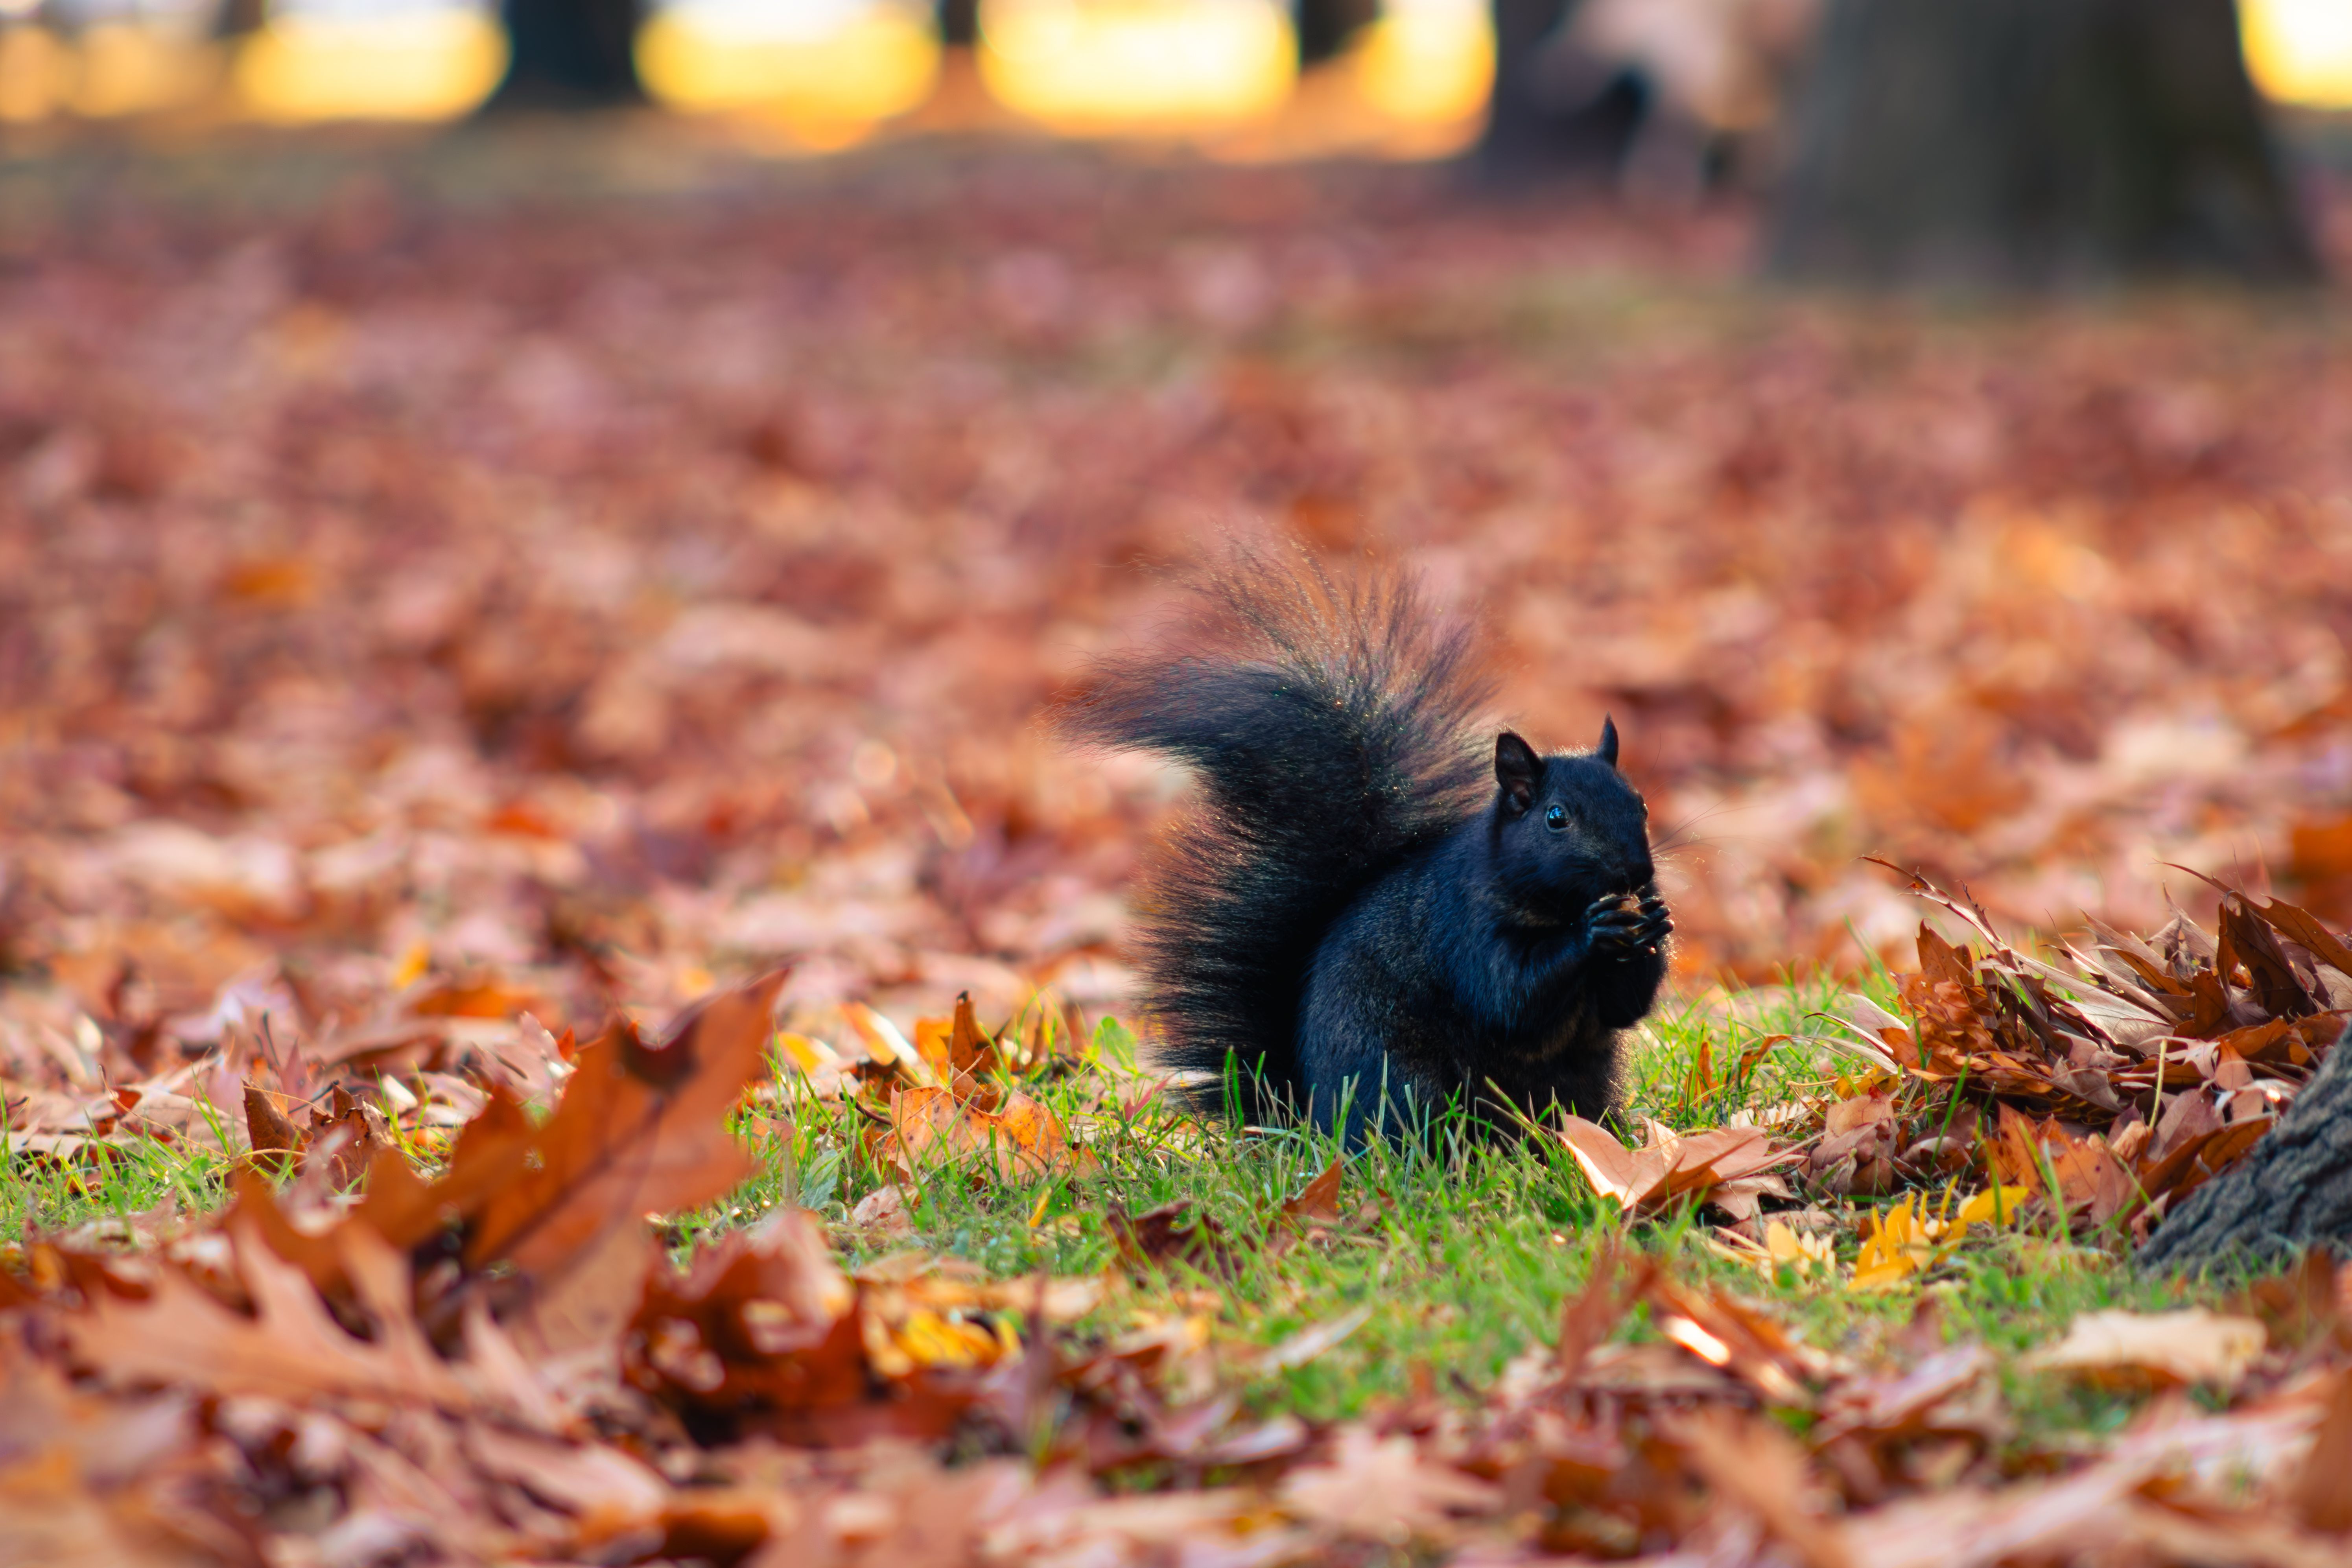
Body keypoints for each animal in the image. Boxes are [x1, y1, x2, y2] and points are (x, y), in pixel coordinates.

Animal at [1061, 553, 1671, 1142]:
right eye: (1556, 818)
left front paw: (1656, 921)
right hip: (1404, 1086)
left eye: (1640, 803)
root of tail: (1312, 1124)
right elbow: (1510, 994)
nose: (1636, 873)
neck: (1552, 902)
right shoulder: (1464, 928)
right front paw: (1592, 930)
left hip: (1586, 1081)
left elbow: (1625, 1006)